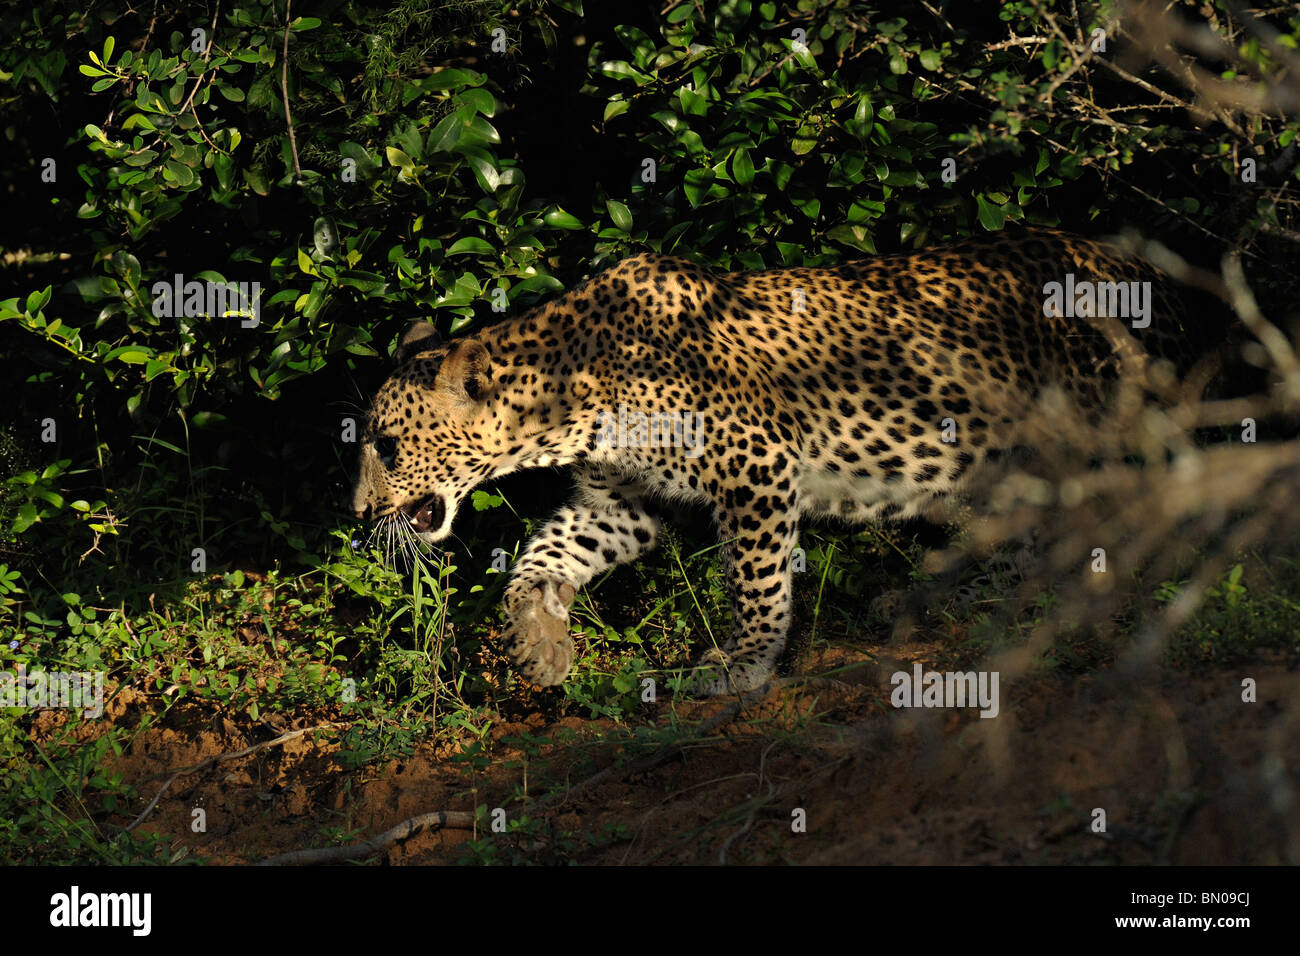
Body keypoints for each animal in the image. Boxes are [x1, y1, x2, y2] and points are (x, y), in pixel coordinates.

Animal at [351, 227, 1203, 696]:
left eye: (387, 445)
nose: (358, 514)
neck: (564, 401)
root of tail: (1140, 271)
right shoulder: (621, 501)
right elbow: (542, 556)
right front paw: (539, 641)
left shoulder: (754, 462)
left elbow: (753, 579)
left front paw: (747, 663)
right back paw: (962, 596)